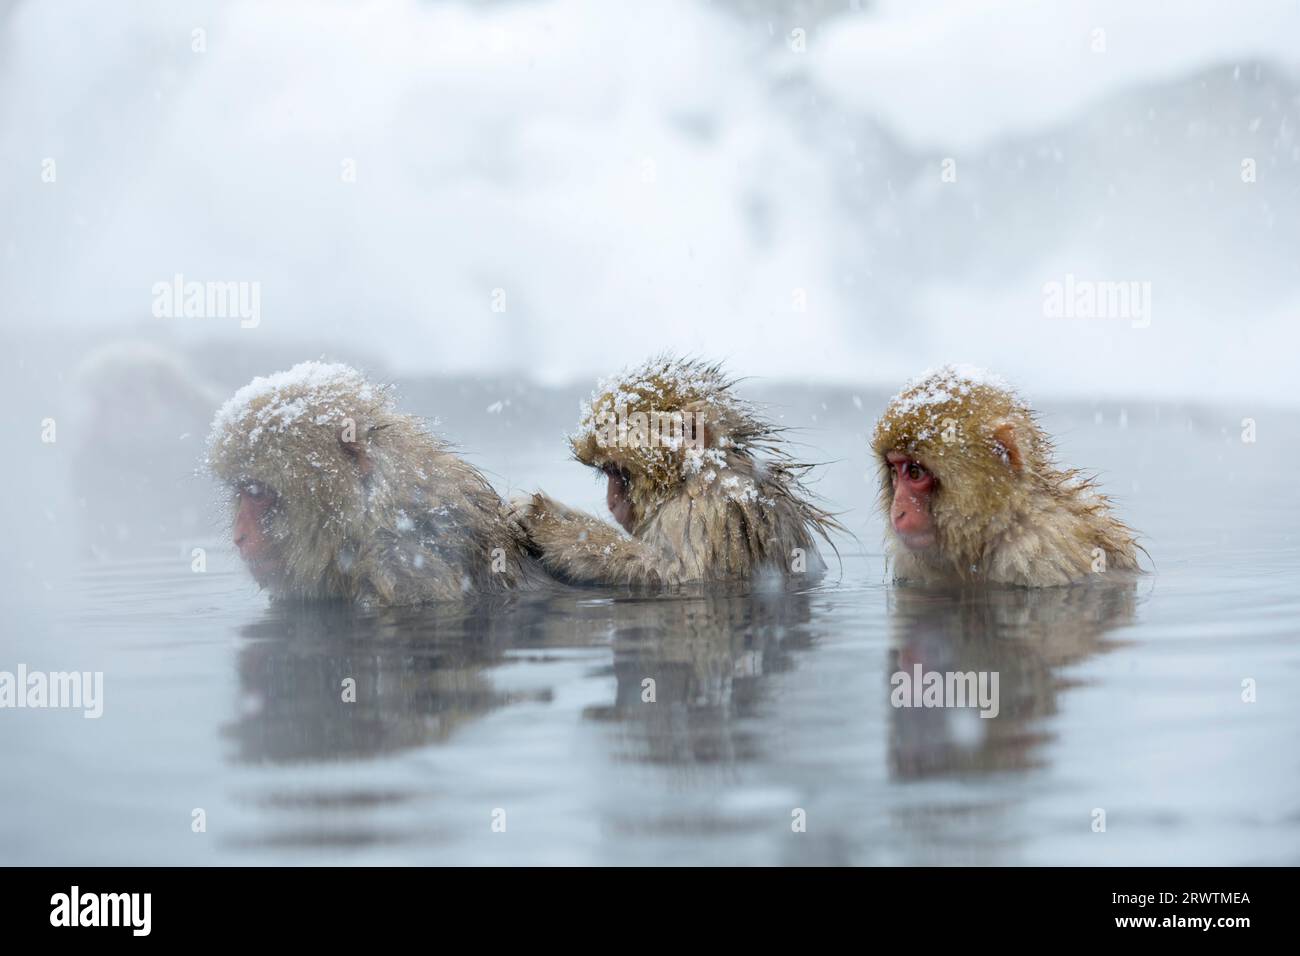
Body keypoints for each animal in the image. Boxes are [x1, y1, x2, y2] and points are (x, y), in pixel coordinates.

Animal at [512, 355, 841, 589]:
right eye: (607, 473)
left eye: (619, 474)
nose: (611, 501)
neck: (691, 479)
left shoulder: (707, 515)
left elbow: (671, 575)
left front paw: (547, 519)